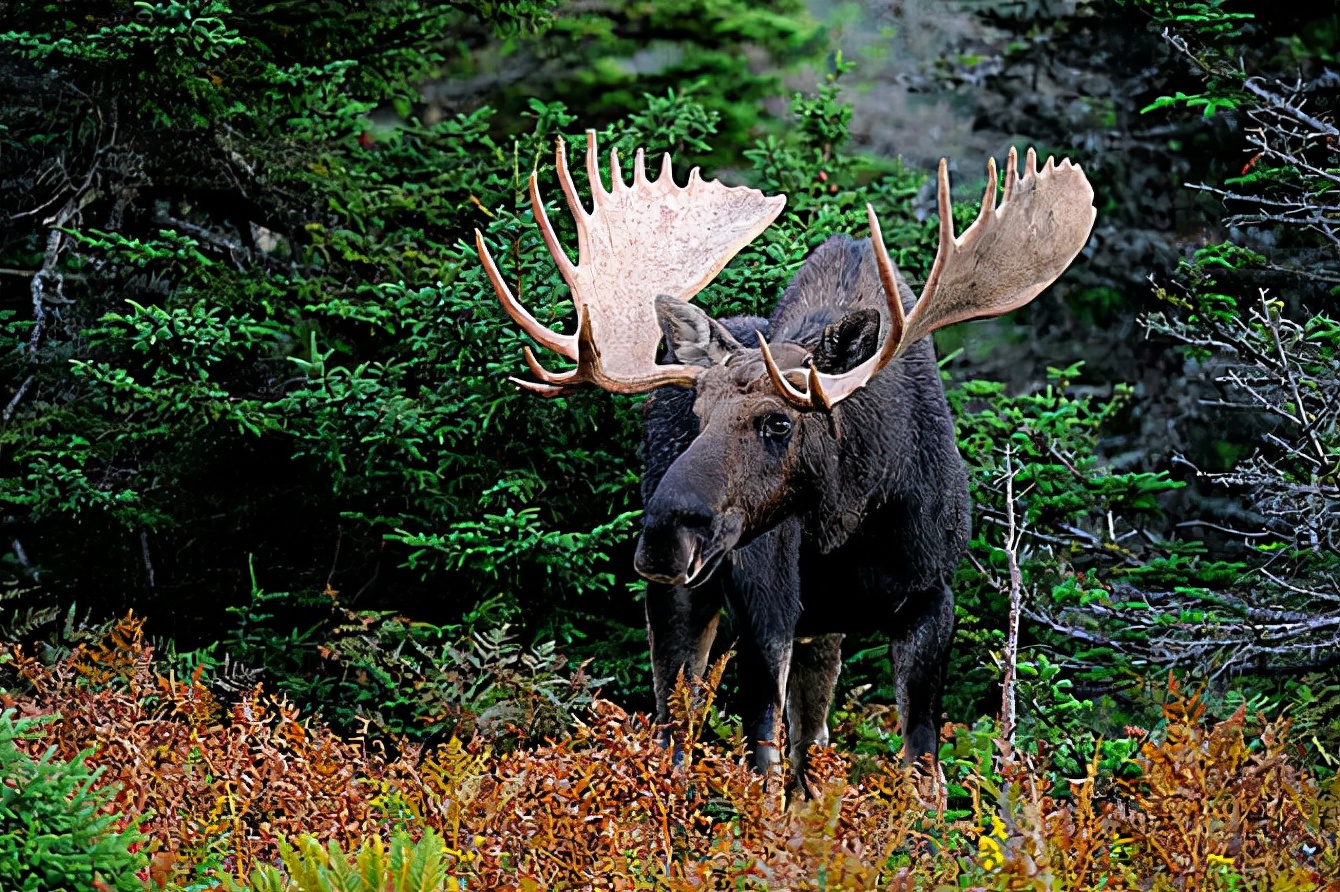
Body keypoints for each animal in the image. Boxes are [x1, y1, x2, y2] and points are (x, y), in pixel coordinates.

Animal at [475, 132, 1095, 795]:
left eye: (780, 421)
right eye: (699, 411)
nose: (664, 534)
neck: (849, 521)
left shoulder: (931, 594)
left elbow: (917, 770)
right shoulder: (767, 603)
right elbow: (763, 765)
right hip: (687, 597)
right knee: (673, 732)